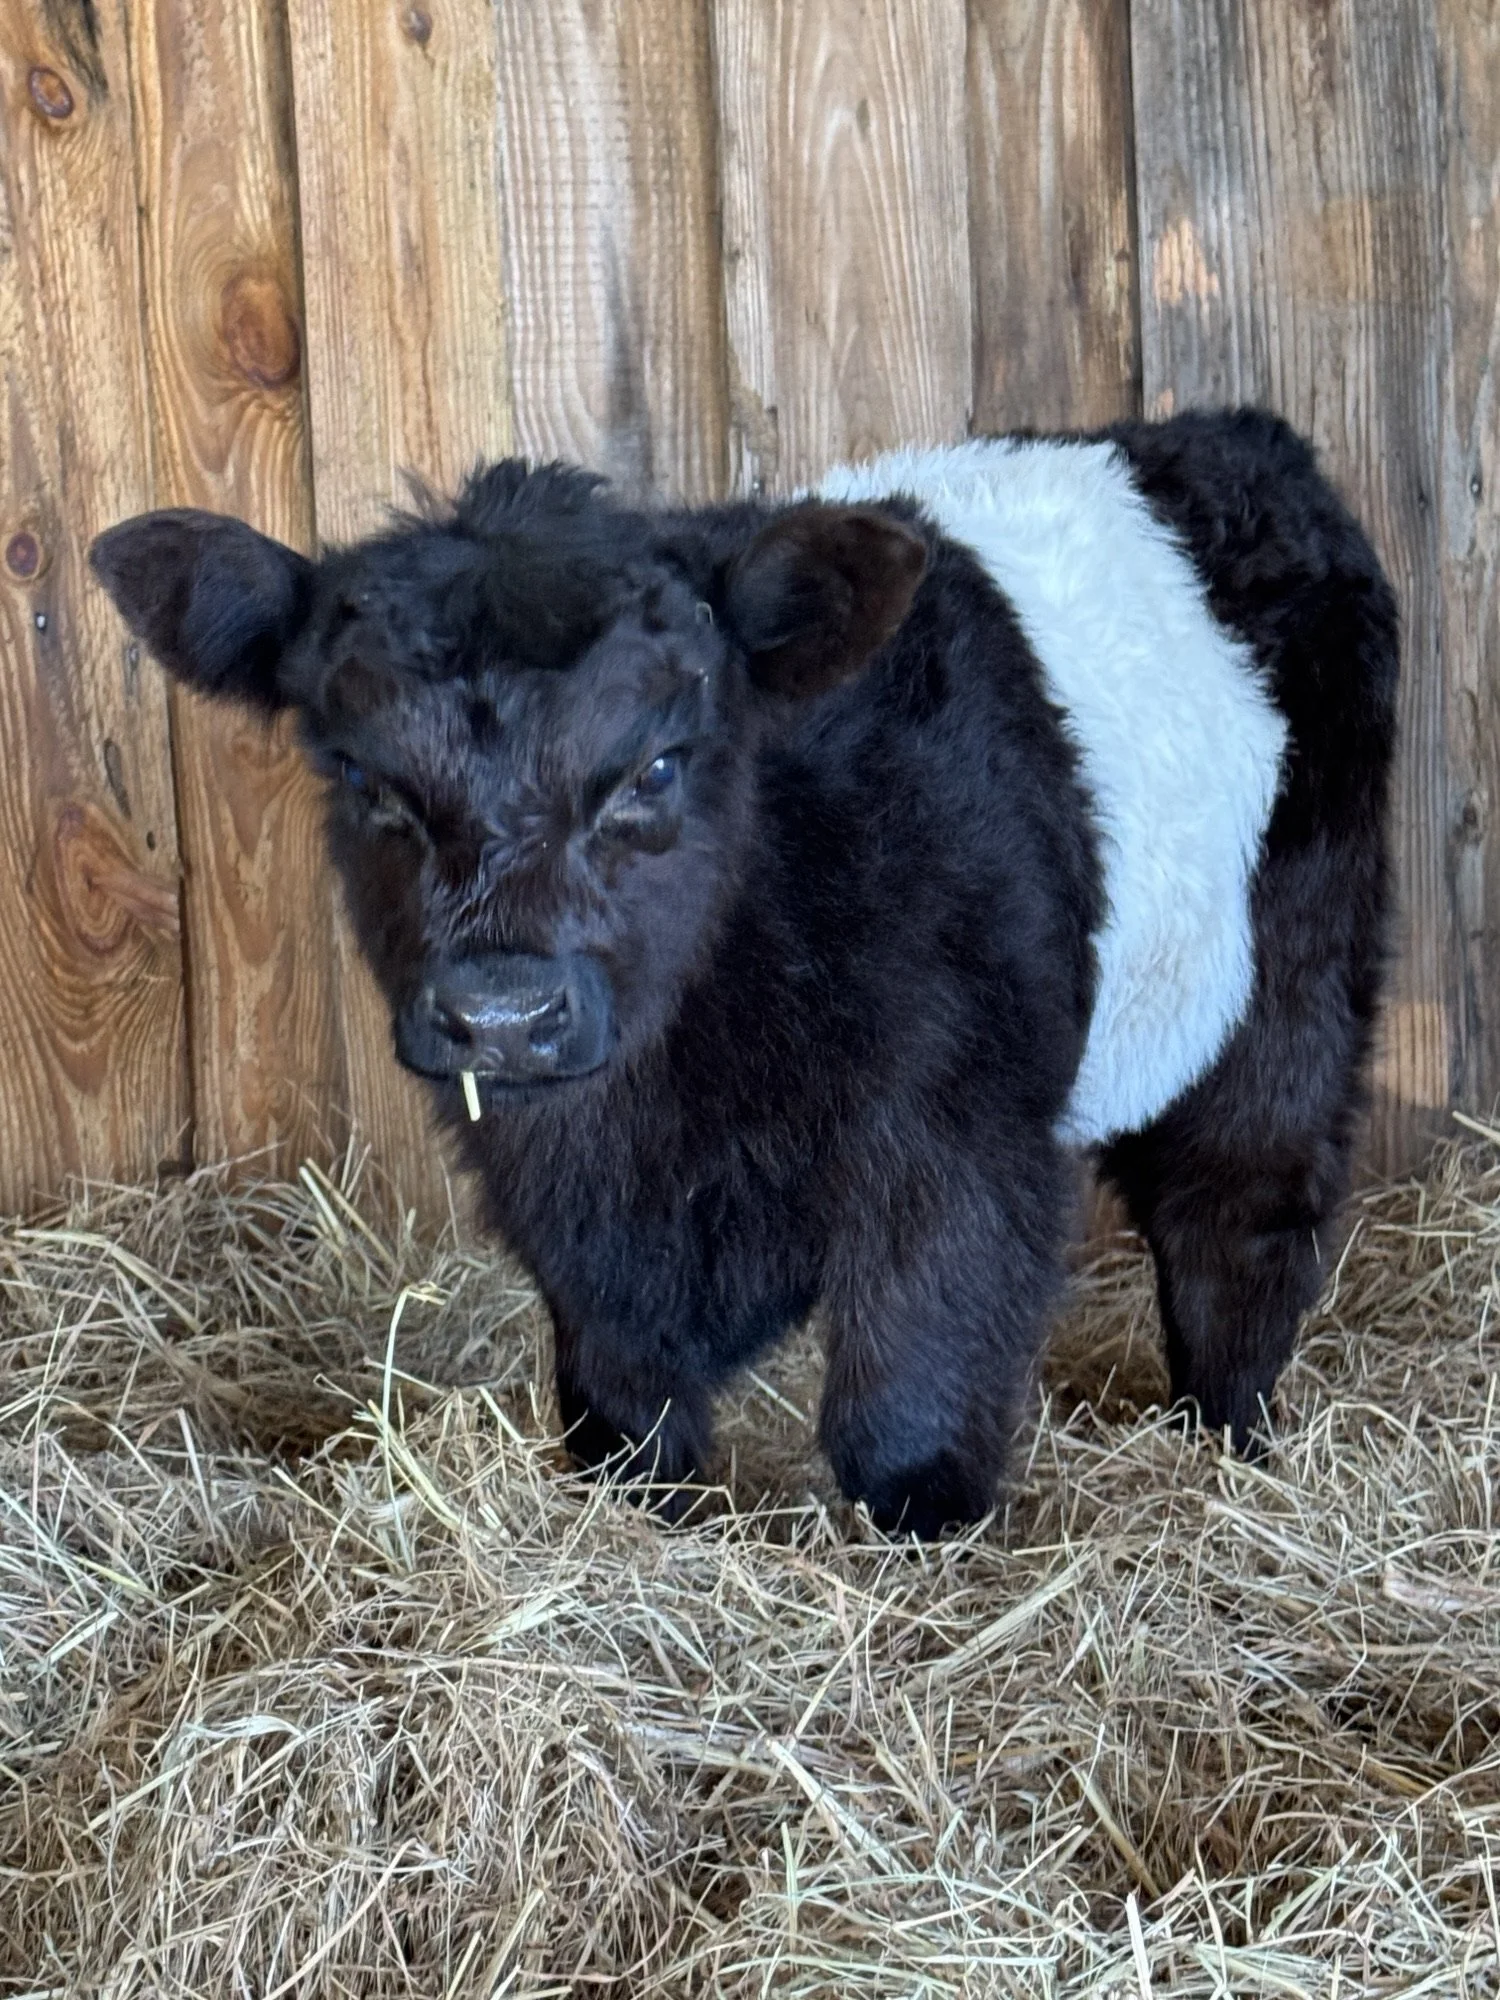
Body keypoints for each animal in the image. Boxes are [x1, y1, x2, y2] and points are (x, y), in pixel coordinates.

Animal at [91, 409, 1398, 1536]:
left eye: (660, 763)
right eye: (364, 778)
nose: (503, 1015)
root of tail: (1221, 433)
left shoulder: (959, 1138)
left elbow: (908, 1396)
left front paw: (924, 1537)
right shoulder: (560, 1190)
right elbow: (618, 1389)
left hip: (1298, 963)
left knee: (1238, 1208)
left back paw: (1227, 1433)